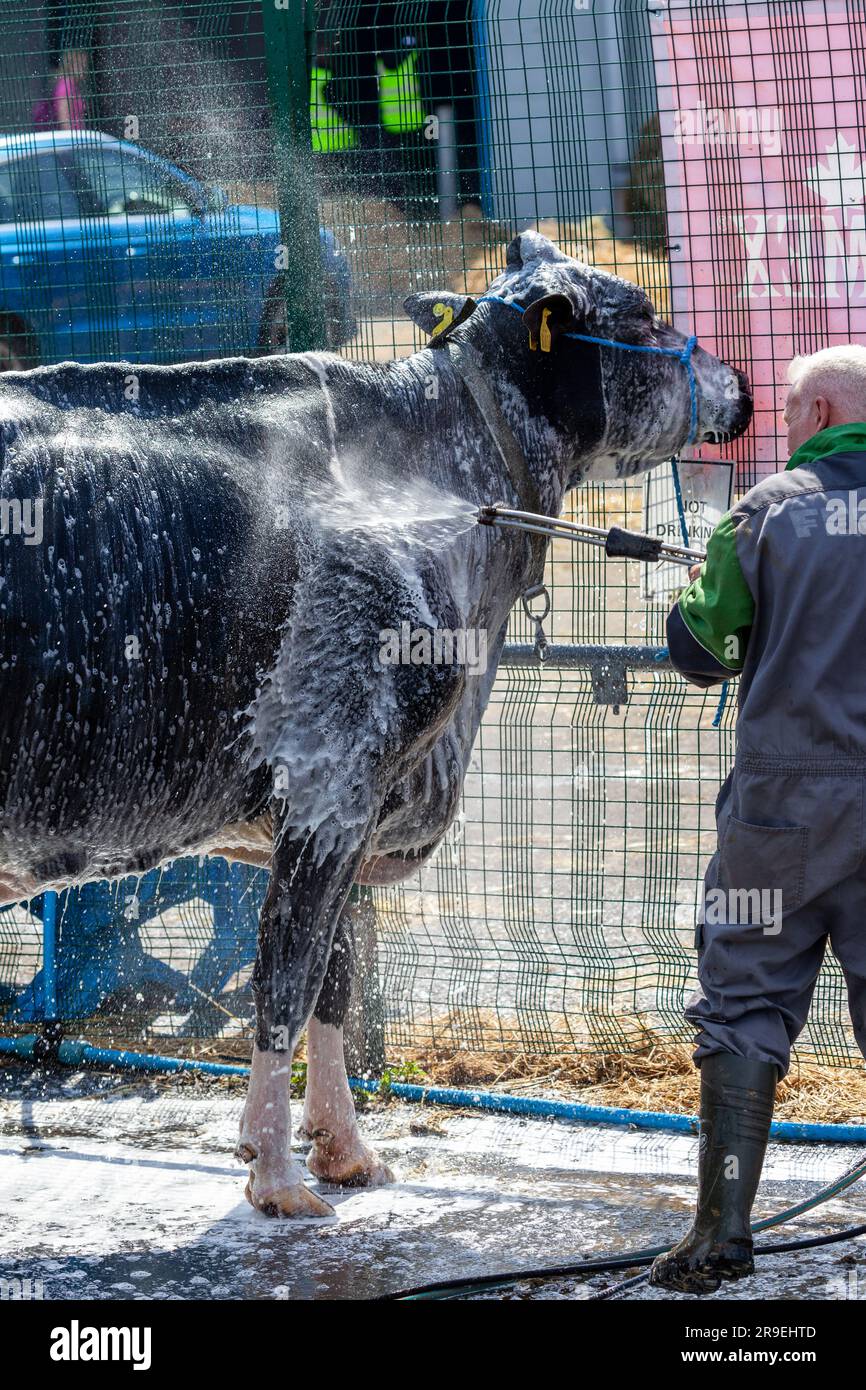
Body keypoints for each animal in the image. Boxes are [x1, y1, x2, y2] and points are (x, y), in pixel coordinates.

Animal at [0, 231, 752, 1216]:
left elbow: (337, 983)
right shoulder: (334, 779)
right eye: (645, 316)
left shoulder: (349, 814)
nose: (744, 388)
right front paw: (276, 1173)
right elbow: (285, 982)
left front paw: (344, 1150)